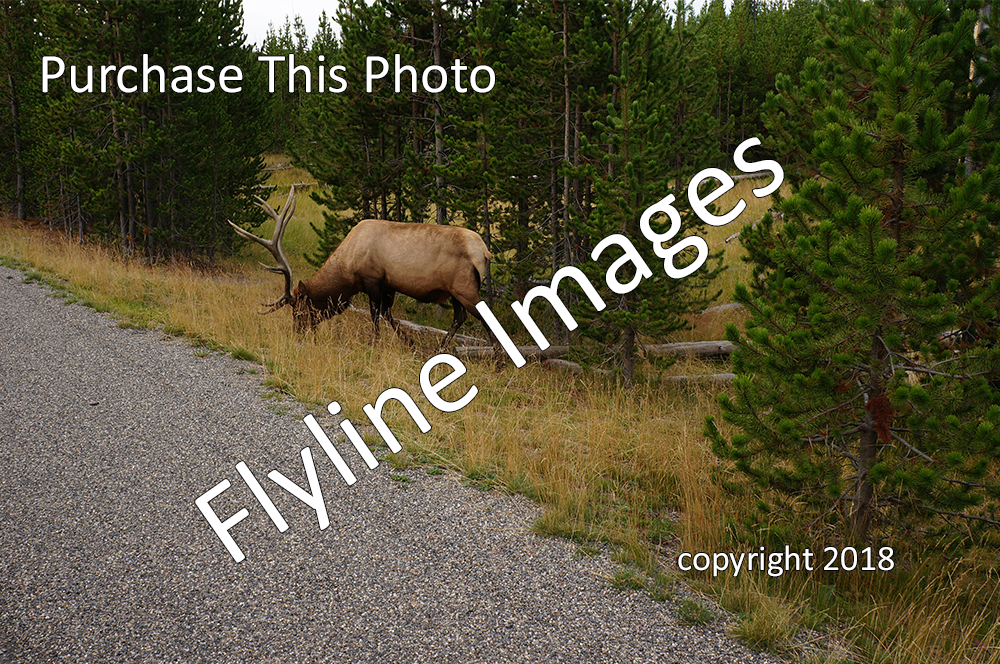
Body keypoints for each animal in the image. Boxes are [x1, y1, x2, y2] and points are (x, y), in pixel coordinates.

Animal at [229, 186, 499, 354]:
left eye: (299, 311)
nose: (298, 333)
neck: (347, 270)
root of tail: (484, 252)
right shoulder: (388, 283)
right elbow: (388, 314)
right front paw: (409, 343)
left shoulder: (372, 279)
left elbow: (375, 315)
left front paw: (373, 343)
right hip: (454, 292)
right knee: (459, 317)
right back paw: (441, 348)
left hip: (463, 286)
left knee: (483, 315)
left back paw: (498, 360)